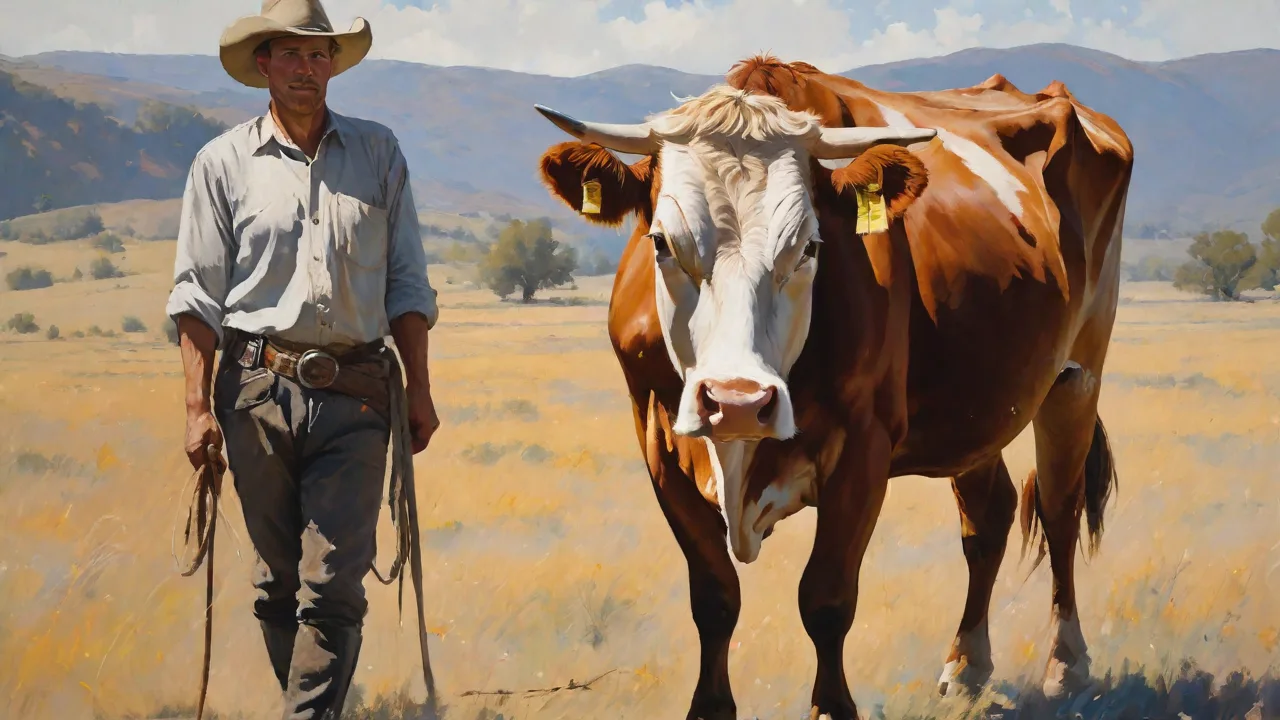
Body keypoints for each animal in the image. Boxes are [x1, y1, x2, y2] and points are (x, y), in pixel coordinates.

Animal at [532, 55, 1133, 720]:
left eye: (810, 246)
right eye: (662, 242)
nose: (736, 403)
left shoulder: (864, 449)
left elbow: (826, 598)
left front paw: (832, 707)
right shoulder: (659, 440)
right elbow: (714, 597)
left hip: (1077, 377)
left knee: (1059, 509)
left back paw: (1067, 666)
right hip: (982, 406)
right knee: (988, 518)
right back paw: (967, 667)